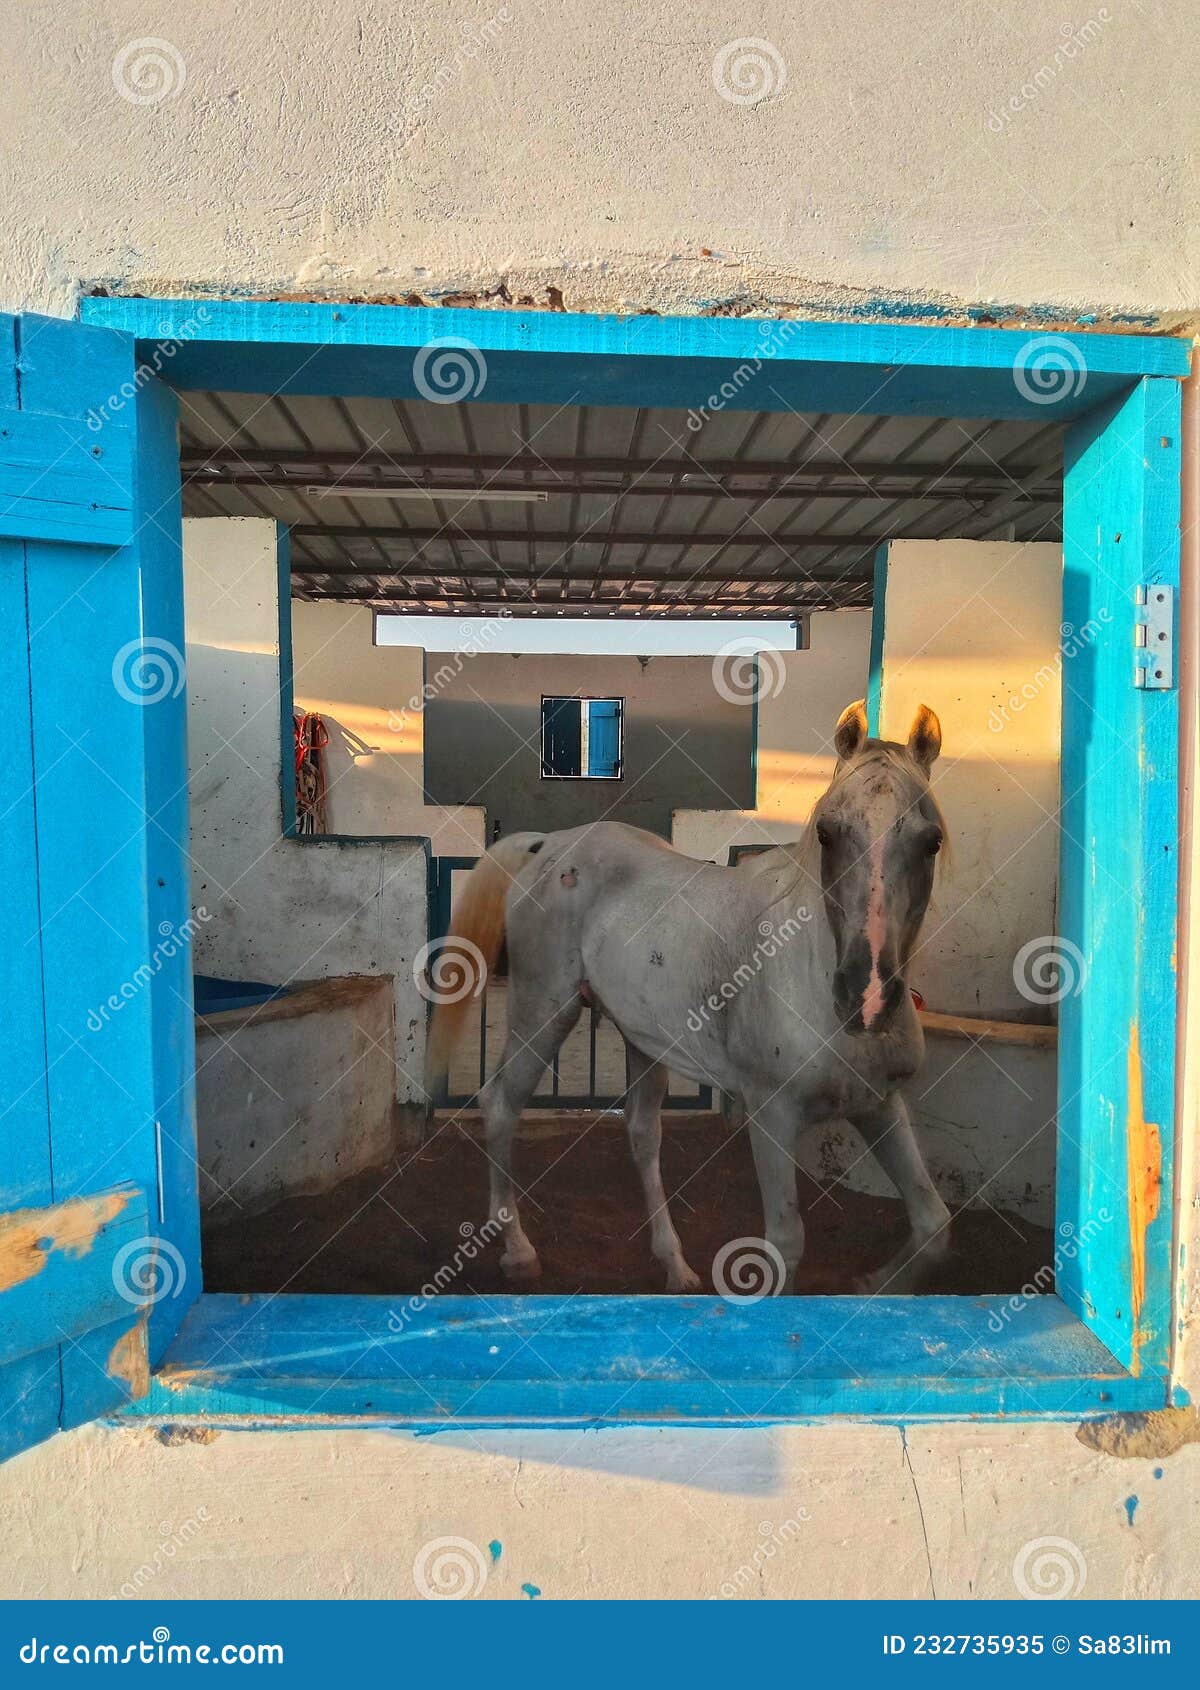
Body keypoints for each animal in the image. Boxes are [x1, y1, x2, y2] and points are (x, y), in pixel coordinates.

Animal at [425, 698, 952, 1296]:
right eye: (826, 834)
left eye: (931, 841)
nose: (866, 997)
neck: (811, 973)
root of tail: (548, 844)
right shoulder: (772, 1115)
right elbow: (785, 1244)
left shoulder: (880, 1106)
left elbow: (933, 1225)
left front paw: (874, 1285)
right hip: (542, 1013)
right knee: (501, 1105)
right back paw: (518, 1252)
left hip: (643, 1039)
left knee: (641, 1133)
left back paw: (675, 1265)